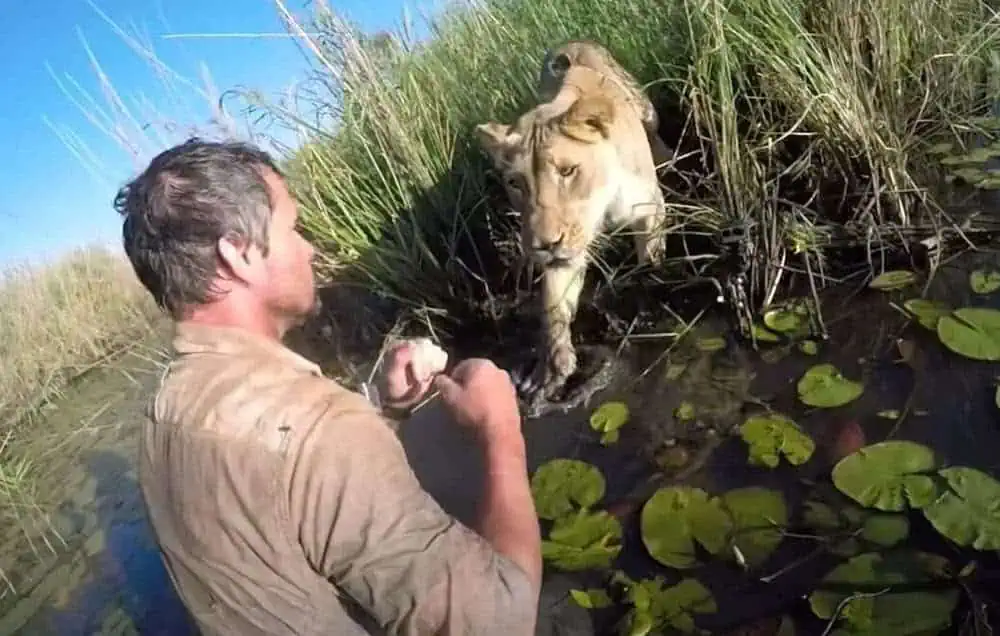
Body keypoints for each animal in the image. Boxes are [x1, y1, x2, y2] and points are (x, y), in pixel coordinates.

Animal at [475, 42, 670, 409]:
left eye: (567, 171)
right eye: (516, 183)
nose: (543, 244)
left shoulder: (648, 208)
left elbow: (650, 259)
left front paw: (647, 293)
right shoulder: (565, 249)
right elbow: (552, 304)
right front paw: (550, 370)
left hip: (647, 111)